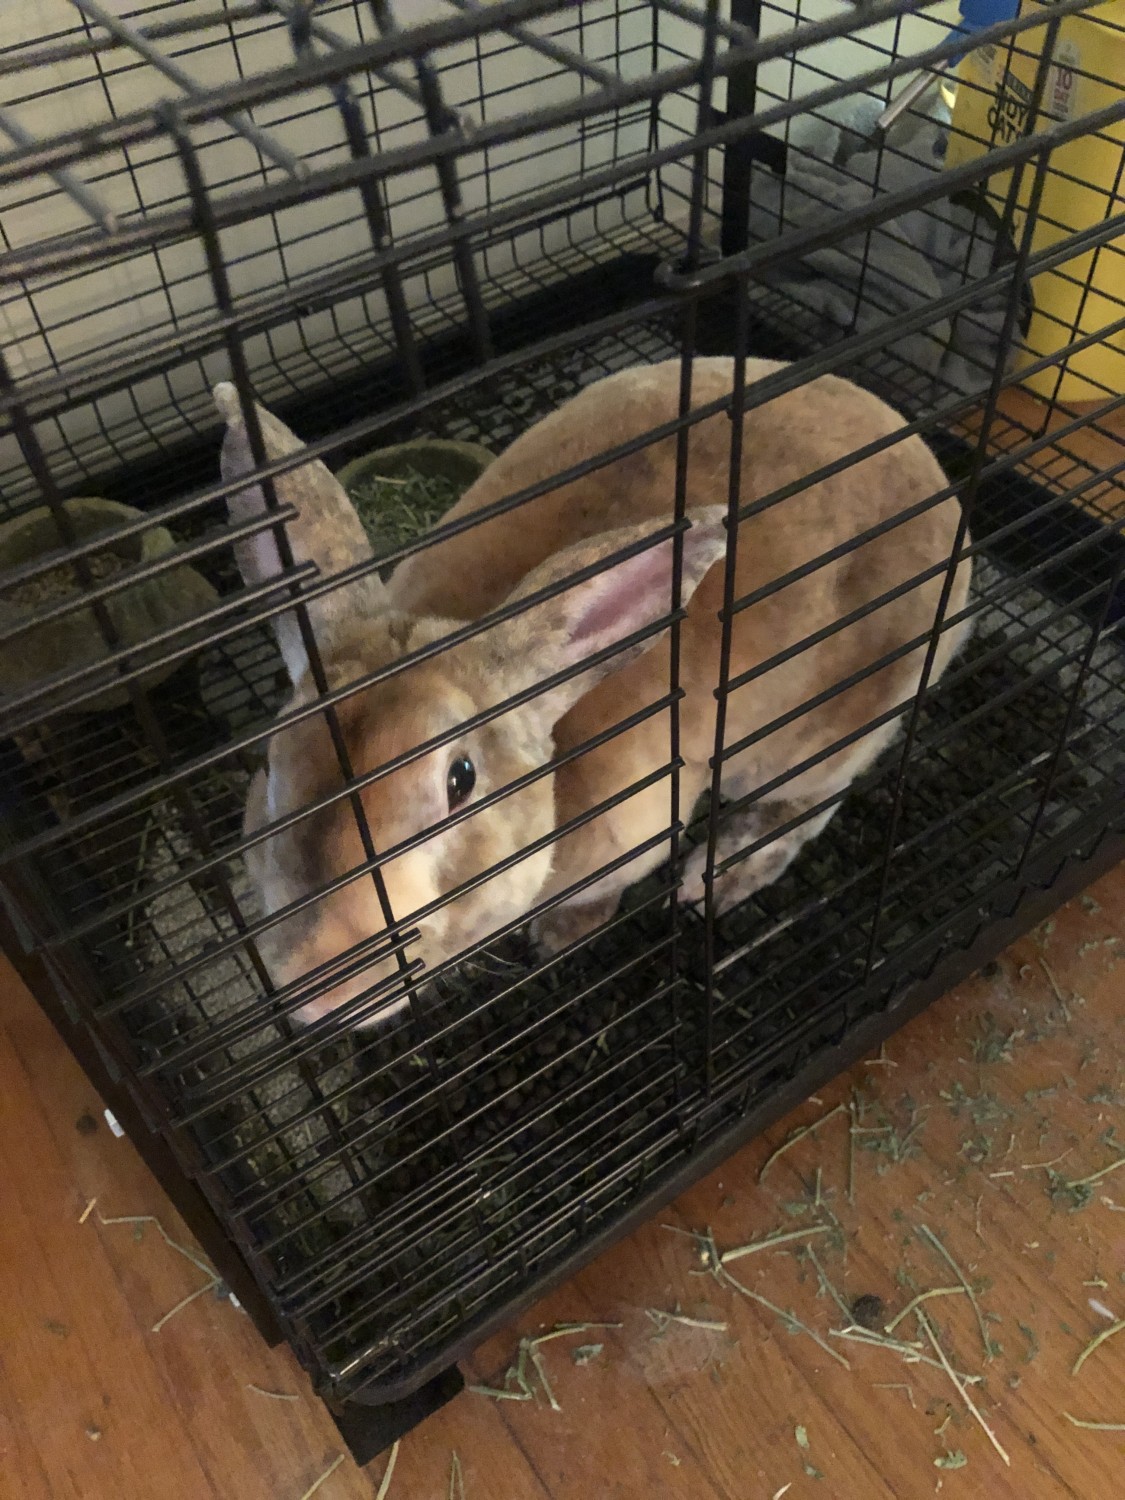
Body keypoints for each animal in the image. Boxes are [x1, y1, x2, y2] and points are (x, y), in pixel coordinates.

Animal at [217, 357, 972, 1029]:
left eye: (460, 780)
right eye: (270, 768)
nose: (321, 989)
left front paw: (560, 935)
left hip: (829, 731)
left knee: (806, 804)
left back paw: (716, 878)